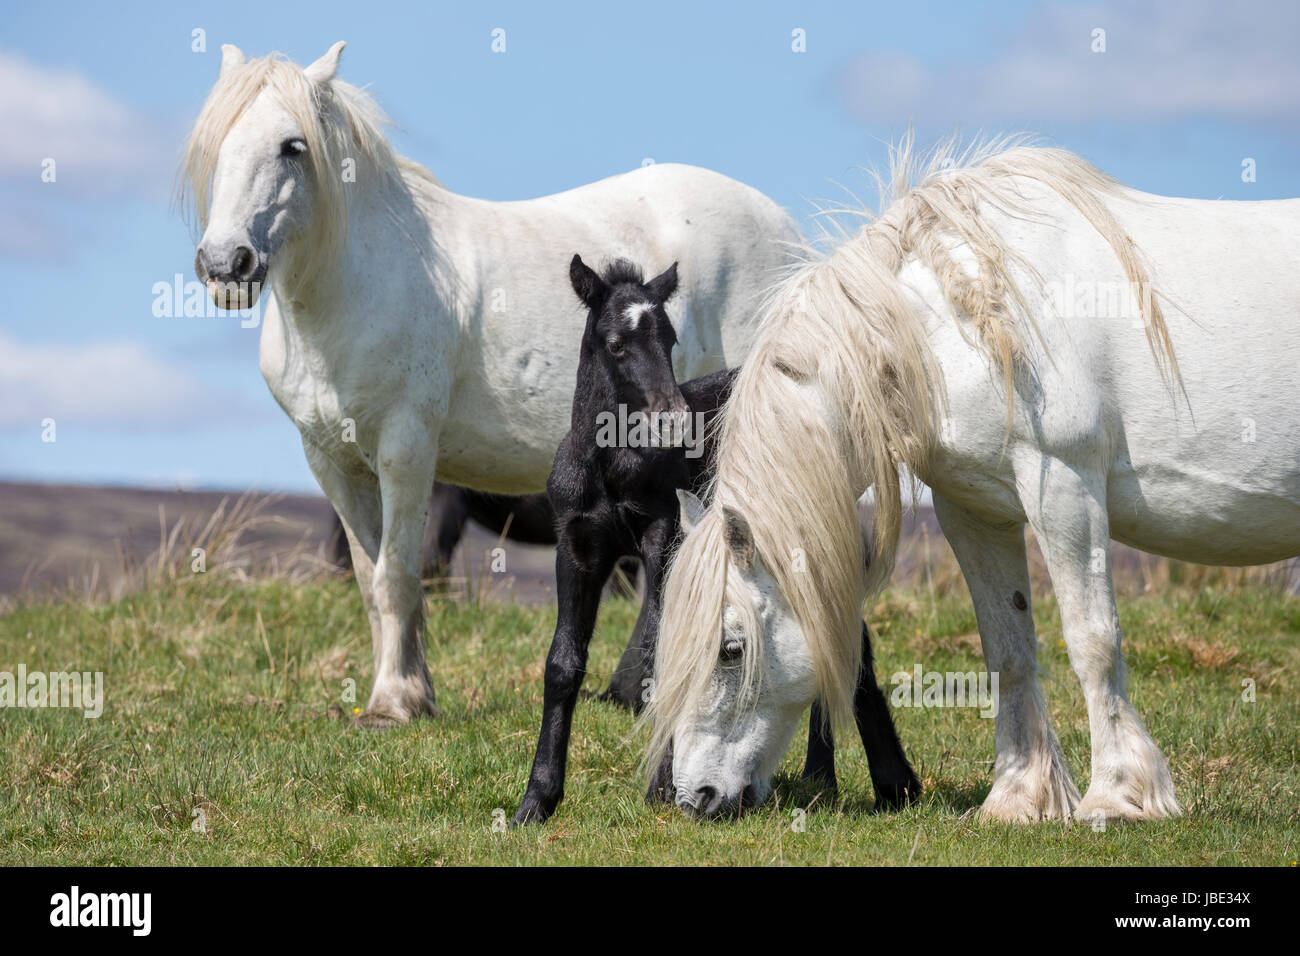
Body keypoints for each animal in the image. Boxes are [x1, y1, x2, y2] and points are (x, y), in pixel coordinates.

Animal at [180, 42, 799, 726]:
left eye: (292, 145)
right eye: (214, 143)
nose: (225, 264)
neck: (358, 284)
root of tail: (786, 231)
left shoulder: (406, 449)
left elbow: (398, 574)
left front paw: (394, 703)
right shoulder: (331, 460)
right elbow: (370, 580)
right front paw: (408, 692)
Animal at [513, 255, 917, 823]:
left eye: (670, 338)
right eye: (615, 343)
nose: (674, 419)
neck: (612, 467)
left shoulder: (664, 537)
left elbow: (660, 653)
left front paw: (661, 788)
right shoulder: (576, 547)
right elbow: (562, 663)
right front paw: (537, 800)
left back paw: (852, 779)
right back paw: (825, 779)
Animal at [649, 136, 1300, 821]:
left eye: (731, 649)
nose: (692, 797)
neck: (960, 323)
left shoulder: (1063, 487)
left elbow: (1093, 640)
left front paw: (1118, 795)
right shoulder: (975, 511)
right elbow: (1007, 648)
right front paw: (1019, 798)